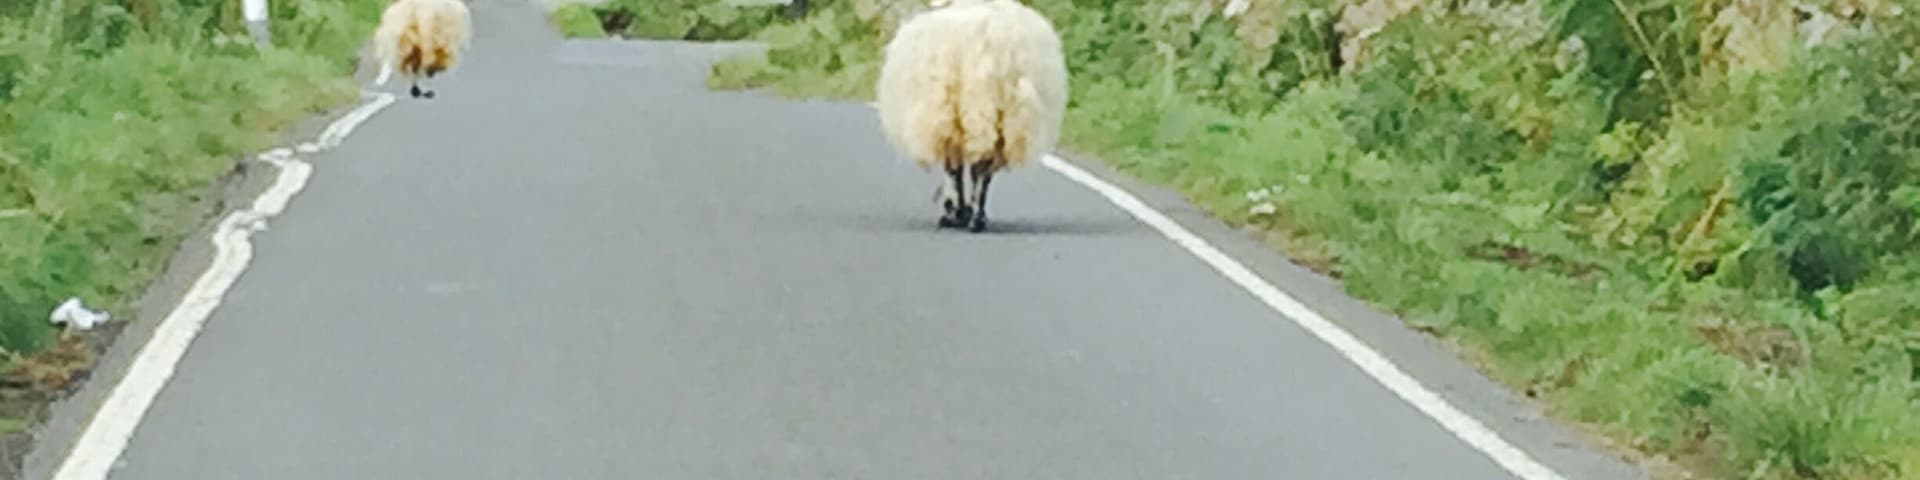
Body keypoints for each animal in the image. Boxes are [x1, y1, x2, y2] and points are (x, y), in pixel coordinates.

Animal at [874, 0, 1069, 233]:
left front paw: (954, 212)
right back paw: (978, 216)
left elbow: (953, 171)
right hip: (1004, 114)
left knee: (973, 167)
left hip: (972, 108)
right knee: (984, 168)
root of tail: (990, 42)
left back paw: (970, 216)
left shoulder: (945, 120)